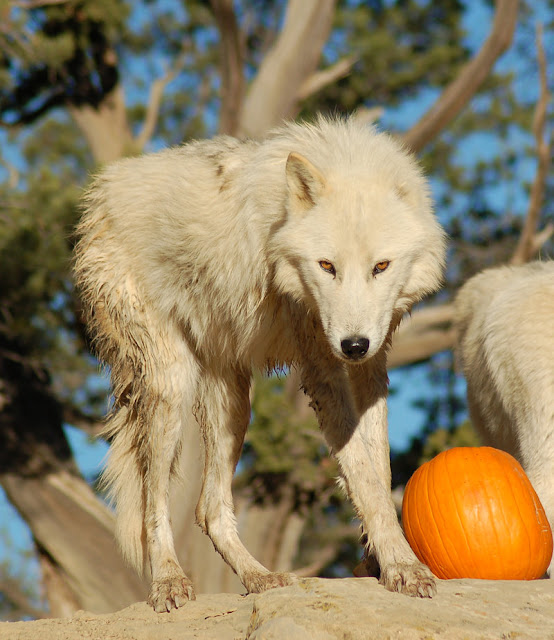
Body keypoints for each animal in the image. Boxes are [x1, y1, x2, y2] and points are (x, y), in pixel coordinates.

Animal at [74, 116, 446, 612]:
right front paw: (403, 567)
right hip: (172, 387)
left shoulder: (373, 365)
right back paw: (170, 582)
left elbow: (379, 473)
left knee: (208, 509)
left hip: (234, 404)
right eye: (326, 266)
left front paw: (378, 561)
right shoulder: (323, 369)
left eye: (380, 267)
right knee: (155, 504)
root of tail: (99, 194)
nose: (352, 344)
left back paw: (259, 578)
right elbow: (364, 477)